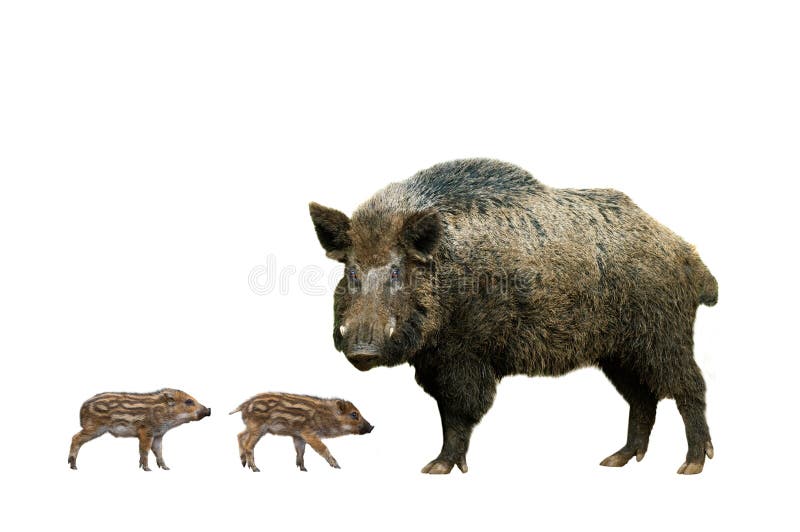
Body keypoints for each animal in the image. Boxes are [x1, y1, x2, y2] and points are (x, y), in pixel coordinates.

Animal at [68, 389, 211, 471]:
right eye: (189, 402)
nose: (209, 409)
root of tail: (82, 407)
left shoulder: (158, 434)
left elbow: (158, 451)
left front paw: (166, 468)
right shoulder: (146, 431)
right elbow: (145, 450)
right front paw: (147, 469)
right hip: (94, 427)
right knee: (75, 437)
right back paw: (73, 466)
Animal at [229, 392, 374, 472]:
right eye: (354, 414)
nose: (372, 427)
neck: (325, 415)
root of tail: (244, 405)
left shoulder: (298, 436)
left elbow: (300, 451)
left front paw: (303, 469)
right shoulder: (308, 433)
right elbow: (323, 448)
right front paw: (337, 466)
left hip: (254, 428)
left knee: (240, 435)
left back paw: (243, 463)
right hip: (257, 427)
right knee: (248, 445)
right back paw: (255, 469)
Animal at [309, 158, 718, 475]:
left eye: (396, 271)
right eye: (351, 271)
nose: (362, 349)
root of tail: (690, 256)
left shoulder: (467, 354)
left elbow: (459, 410)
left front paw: (436, 468)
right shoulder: (435, 361)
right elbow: (445, 410)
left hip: (663, 337)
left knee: (690, 387)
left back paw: (691, 465)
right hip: (619, 354)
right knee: (642, 398)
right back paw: (615, 460)